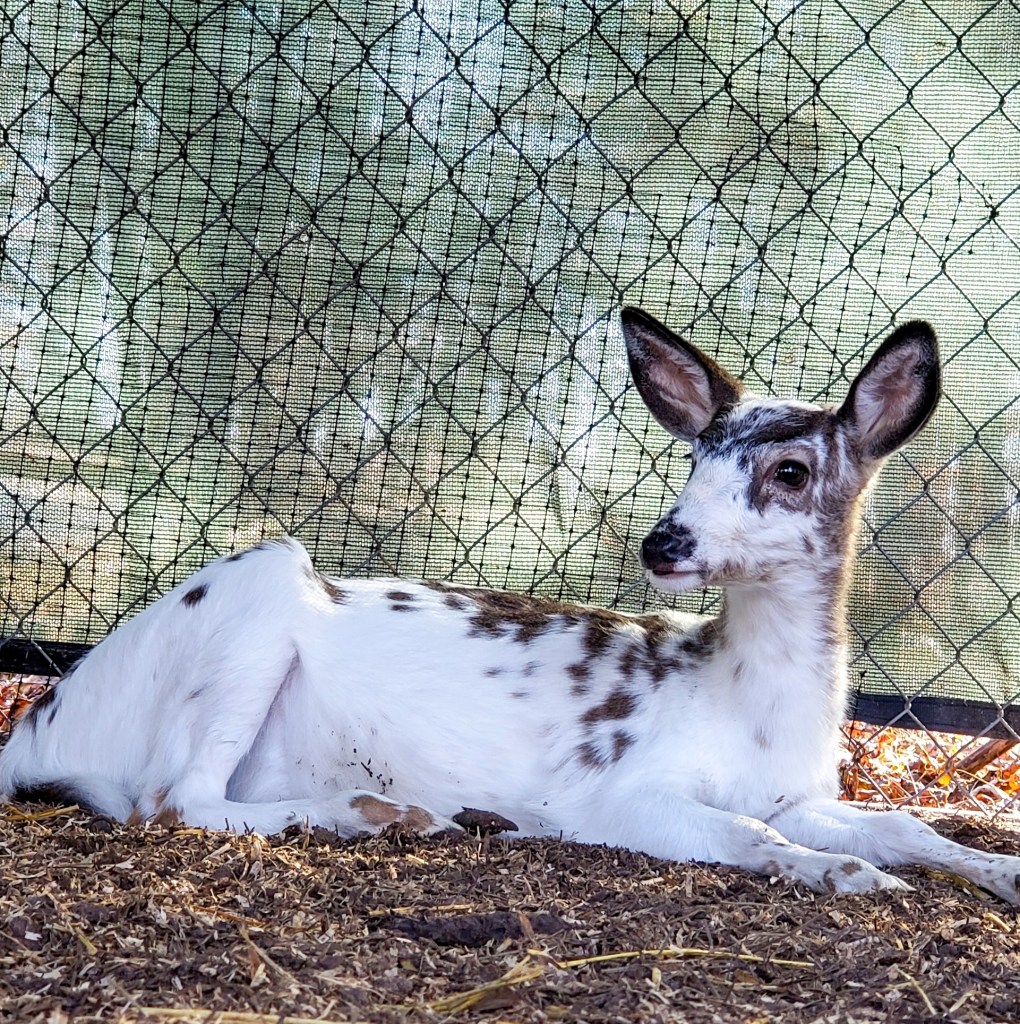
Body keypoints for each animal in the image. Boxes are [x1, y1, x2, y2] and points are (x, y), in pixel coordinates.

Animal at [2, 306, 1019, 903]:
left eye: (792, 471)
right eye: (694, 458)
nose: (664, 543)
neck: (747, 710)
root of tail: (38, 730)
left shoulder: (799, 790)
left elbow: (902, 824)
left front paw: (996, 872)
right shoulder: (620, 793)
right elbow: (751, 834)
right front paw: (843, 874)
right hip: (252, 600)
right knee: (172, 800)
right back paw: (378, 813)